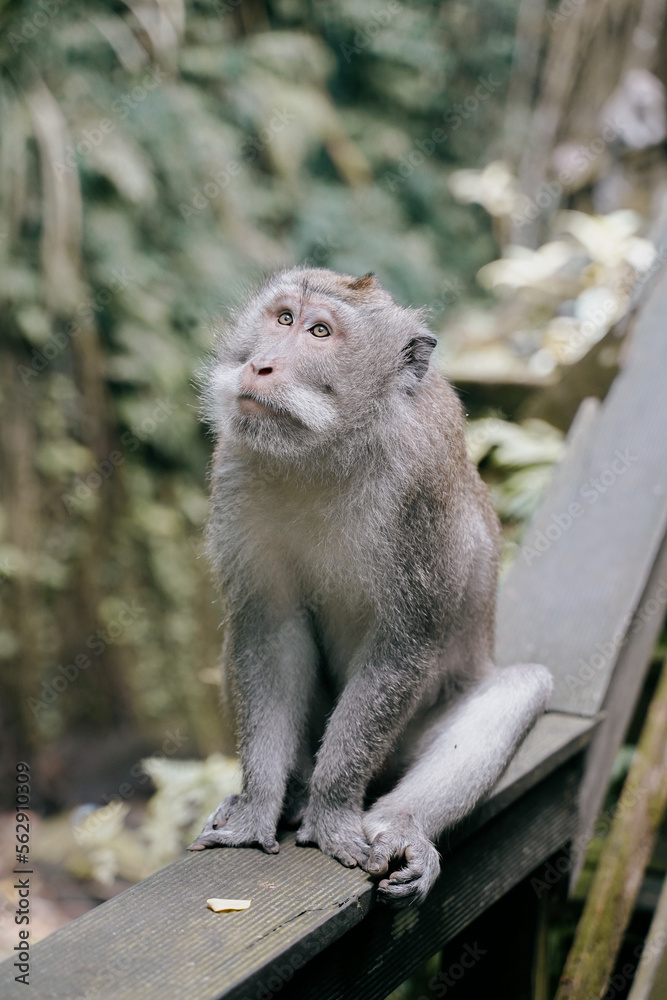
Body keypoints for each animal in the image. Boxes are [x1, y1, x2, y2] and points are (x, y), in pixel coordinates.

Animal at [188, 267, 553, 906]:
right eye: (283, 318)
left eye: (320, 331)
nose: (261, 365)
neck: (329, 449)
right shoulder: (235, 462)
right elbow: (271, 636)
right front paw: (258, 808)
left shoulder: (419, 489)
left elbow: (402, 647)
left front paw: (333, 814)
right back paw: (291, 792)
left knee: (517, 688)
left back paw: (397, 825)